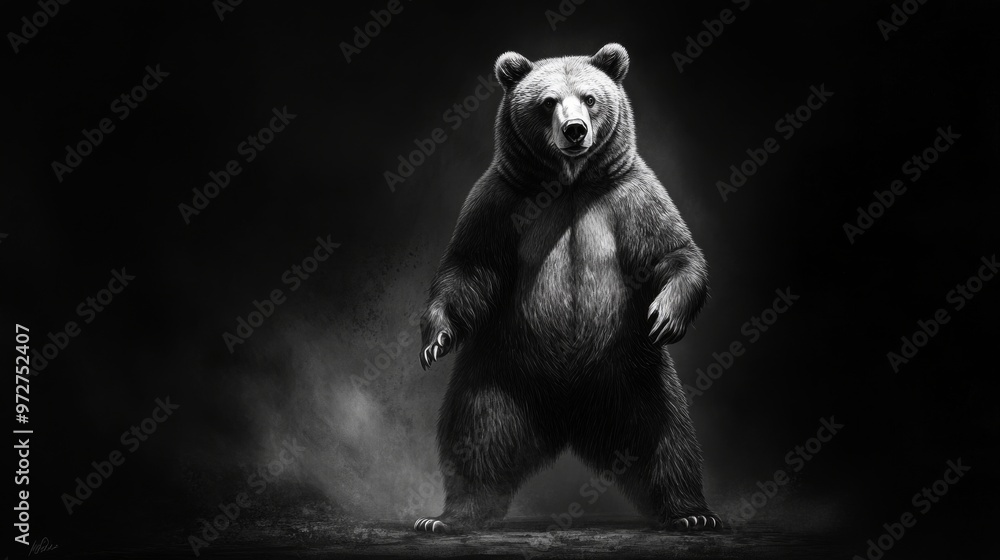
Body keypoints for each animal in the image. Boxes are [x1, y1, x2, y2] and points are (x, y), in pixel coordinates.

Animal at [413, 43, 719, 534]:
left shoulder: (630, 196)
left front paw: (665, 314)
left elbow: (671, 250)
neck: (570, 184)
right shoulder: (499, 201)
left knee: (666, 435)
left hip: (635, 372)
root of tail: (570, 415)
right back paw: (452, 516)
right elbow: (469, 265)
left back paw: (690, 512)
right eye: (548, 102)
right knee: (475, 433)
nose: (575, 130)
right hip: (500, 371)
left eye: (590, 98)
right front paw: (436, 339)